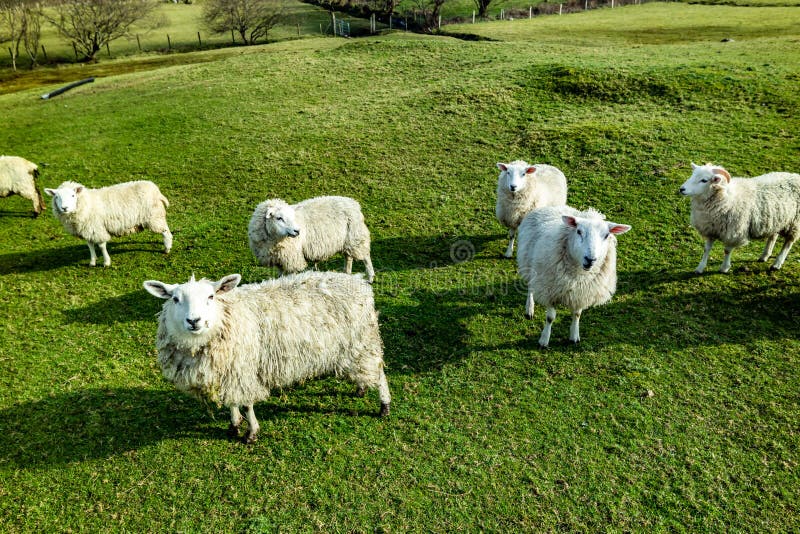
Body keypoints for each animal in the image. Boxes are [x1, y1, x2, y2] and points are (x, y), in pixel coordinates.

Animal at [143, 271, 391, 444]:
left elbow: (247, 404)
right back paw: (360, 387)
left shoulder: (243, 369)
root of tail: (358, 283)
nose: (194, 321)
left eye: (211, 296)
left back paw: (384, 405)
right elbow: (232, 402)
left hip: (363, 342)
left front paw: (251, 433)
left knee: (379, 372)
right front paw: (234, 425)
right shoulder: (228, 372)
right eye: (175, 299)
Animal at [517, 205, 631, 348]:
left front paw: (574, 336)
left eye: (606, 235)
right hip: (530, 266)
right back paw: (529, 308)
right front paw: (544, 339)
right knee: (531, 288)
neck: (579, 274)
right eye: (579, 231)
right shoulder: (551, 290)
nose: (590, 259)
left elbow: (577, 314)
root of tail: (551, 206)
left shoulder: (582, 293)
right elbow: (550, 318)